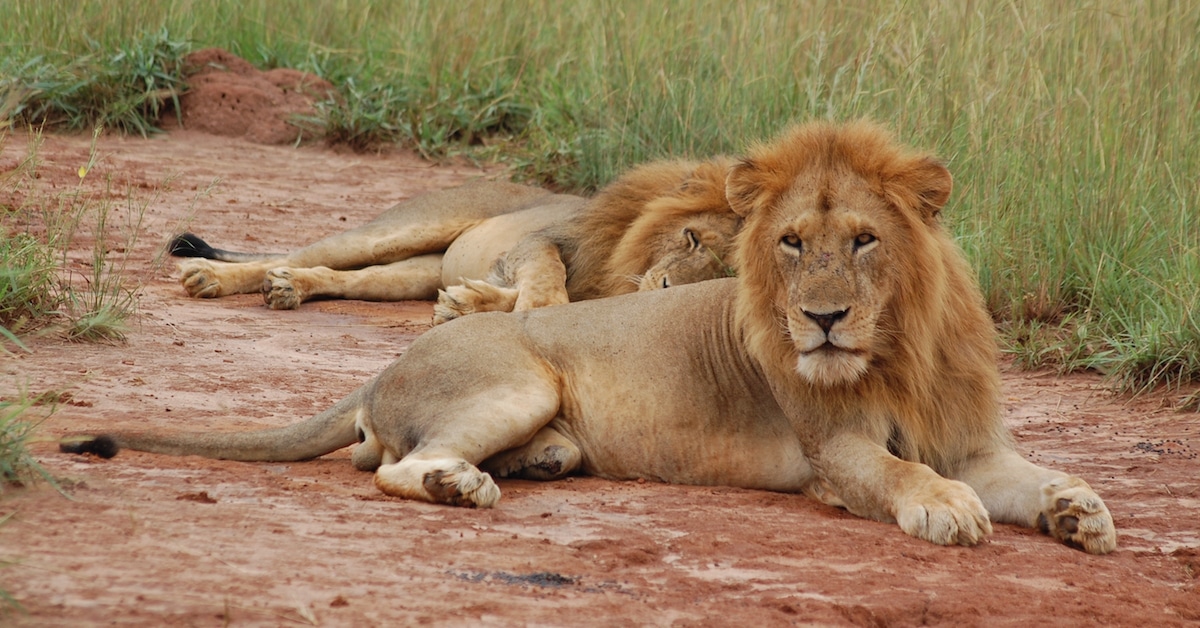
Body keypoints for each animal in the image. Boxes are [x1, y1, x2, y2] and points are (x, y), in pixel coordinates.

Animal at [171, 159, 739, 315]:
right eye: (690, 238)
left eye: (727, 271)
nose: (666, 290)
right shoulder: (537, 244)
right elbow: (547, 282)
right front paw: (525, 309)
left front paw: (466, 305)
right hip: (401, 229)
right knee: (296, 252)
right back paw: (207, 277)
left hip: (413, 272)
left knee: (346, 277)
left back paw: (289, 286)